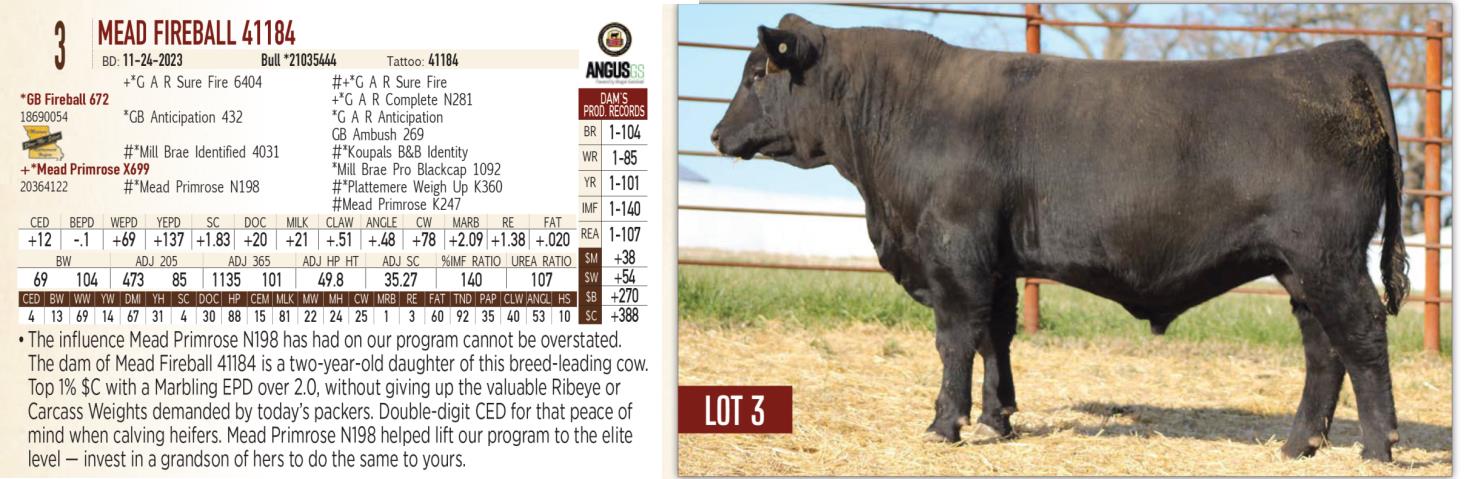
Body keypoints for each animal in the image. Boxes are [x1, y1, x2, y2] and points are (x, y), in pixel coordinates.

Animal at [710, 14, 1410, 462]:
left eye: (756, 74)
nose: (716, 135)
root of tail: (1340, 55)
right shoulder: (996, 263)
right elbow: (995, 337)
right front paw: (998, 420)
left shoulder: (955, 252)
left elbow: (955, 339)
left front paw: (944, 424)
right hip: (1298, 266)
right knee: (1324, 348)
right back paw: (1298, 445)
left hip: (1328, 256)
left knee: (1362, 333)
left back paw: (1379, 447)